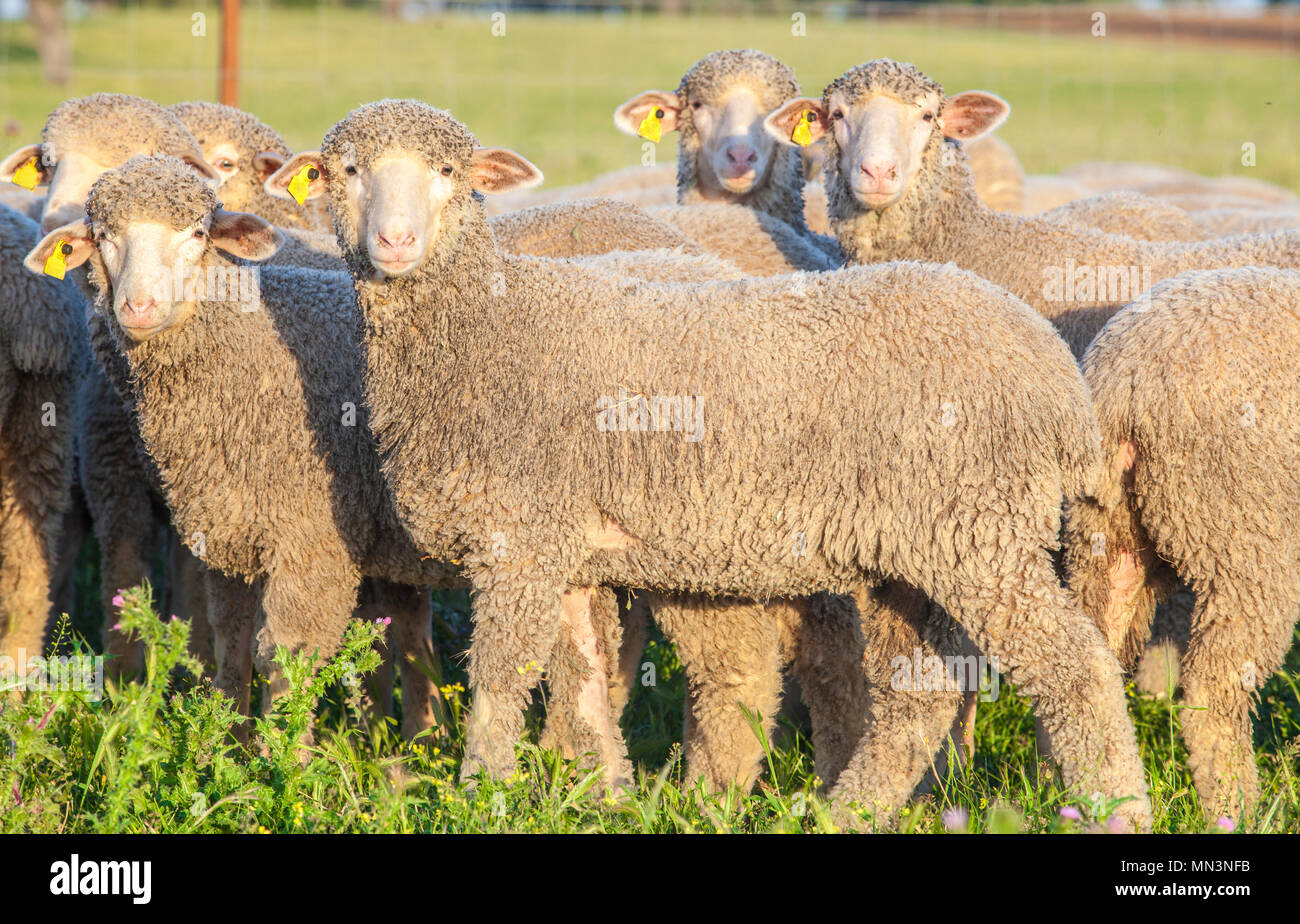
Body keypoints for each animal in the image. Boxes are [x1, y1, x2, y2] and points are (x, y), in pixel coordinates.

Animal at [264, 100, 1153, 828]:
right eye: (347, 171)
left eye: (448, 174)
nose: (395, 242)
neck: (484, 325)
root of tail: (1051, 367)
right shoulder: (567, 547)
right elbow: (584, 684)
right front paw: (608, 798)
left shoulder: (520, 540)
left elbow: (501, 678)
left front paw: (483, 792)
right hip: (917, 547)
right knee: (918, 692)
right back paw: (845, 813)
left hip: (979, 531)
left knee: (1077, 672)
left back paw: (1117, 810)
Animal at [1063, 266, 1300, 822]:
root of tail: (1123, 381)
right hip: (1247, 539)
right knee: (1212, 690)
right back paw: (1241, 810)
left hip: (1108, 532)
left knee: (1095, 652)